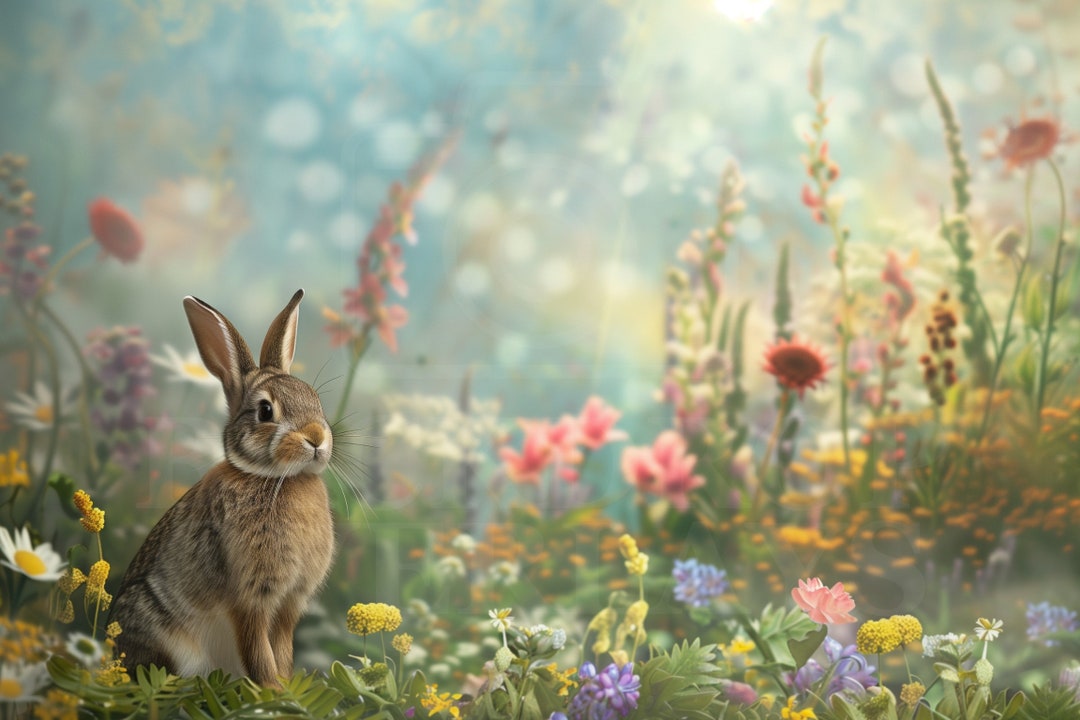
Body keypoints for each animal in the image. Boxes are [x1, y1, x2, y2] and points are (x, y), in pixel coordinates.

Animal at [110, 289, 335, 687]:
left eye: (315, 399)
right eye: (265, 411)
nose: (316, 438)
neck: (274, 478)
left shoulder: (289, 603)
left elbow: (282, 649)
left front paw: (288, 686)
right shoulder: (249, 599)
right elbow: (258, 651)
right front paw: (272, 689)